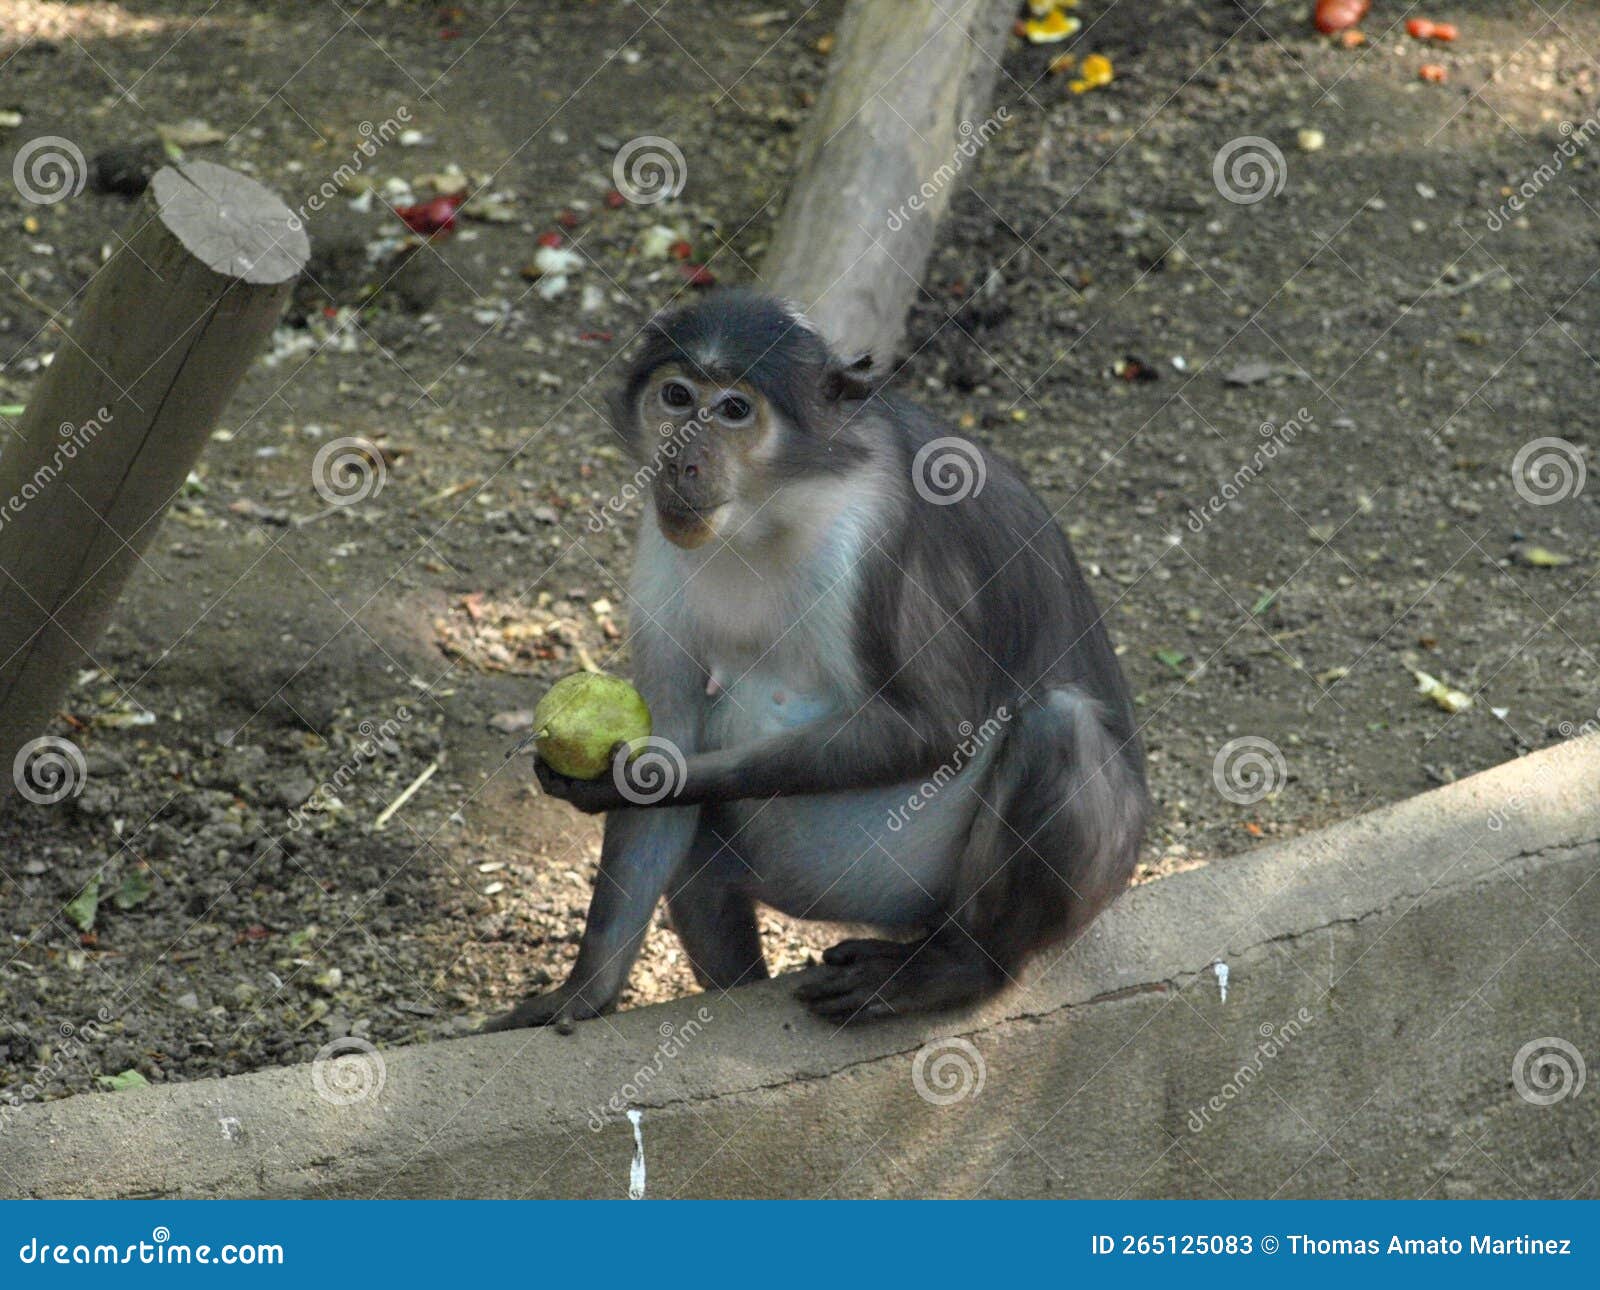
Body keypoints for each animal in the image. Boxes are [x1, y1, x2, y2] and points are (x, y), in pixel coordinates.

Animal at [483, 288, 1148, 1032]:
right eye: (676, 397)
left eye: (734, 410)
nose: (681, 460)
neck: (771, 509)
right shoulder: (662, 541)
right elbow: (670, 754)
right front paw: (579, 993)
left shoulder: (882, 537)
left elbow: (936, 728)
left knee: (1060, 725)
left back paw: (955, 969)